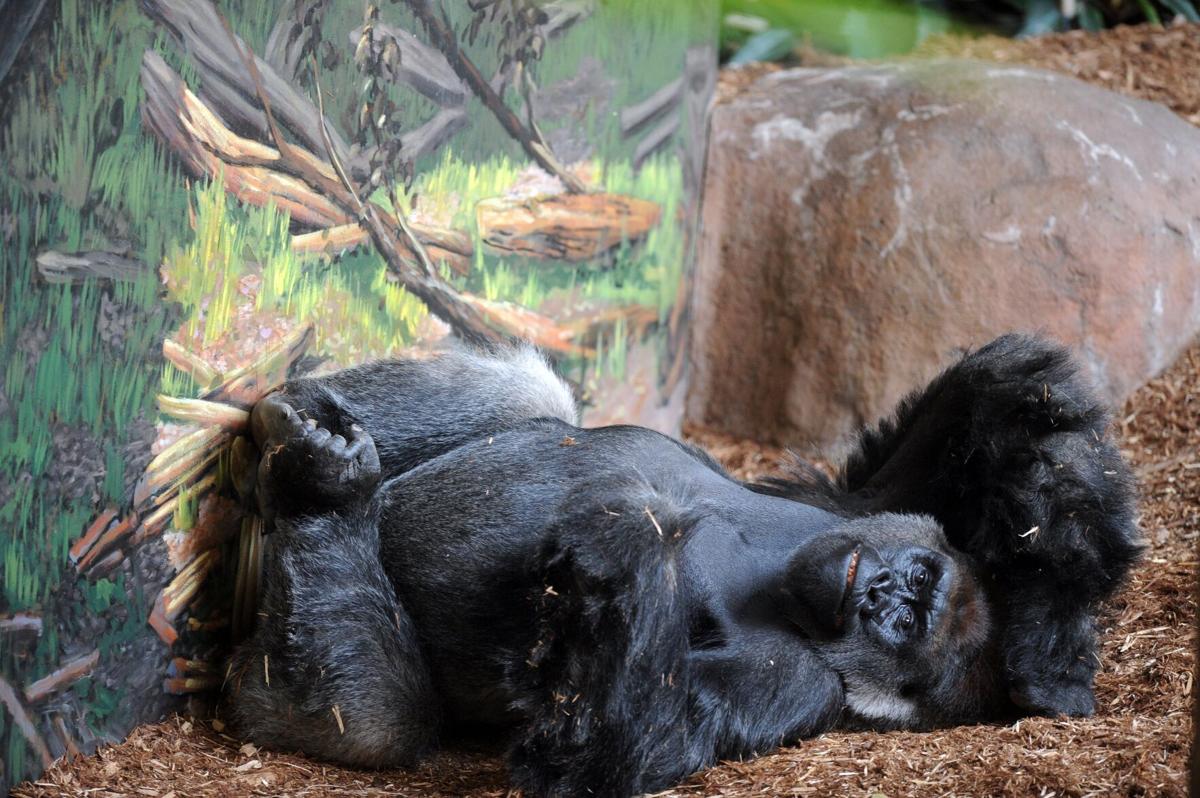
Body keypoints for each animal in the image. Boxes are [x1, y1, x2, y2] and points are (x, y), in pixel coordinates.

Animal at [226, 334, 1140, 797]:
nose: (880, 595)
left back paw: (316, 518)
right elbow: (940, 454)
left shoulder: (794, 688)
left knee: (376, 721)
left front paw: (628, 539)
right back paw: (292, 424)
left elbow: (616, 746)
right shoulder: (845, 506)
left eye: (909, 624)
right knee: (534, 398)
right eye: (919, 582)